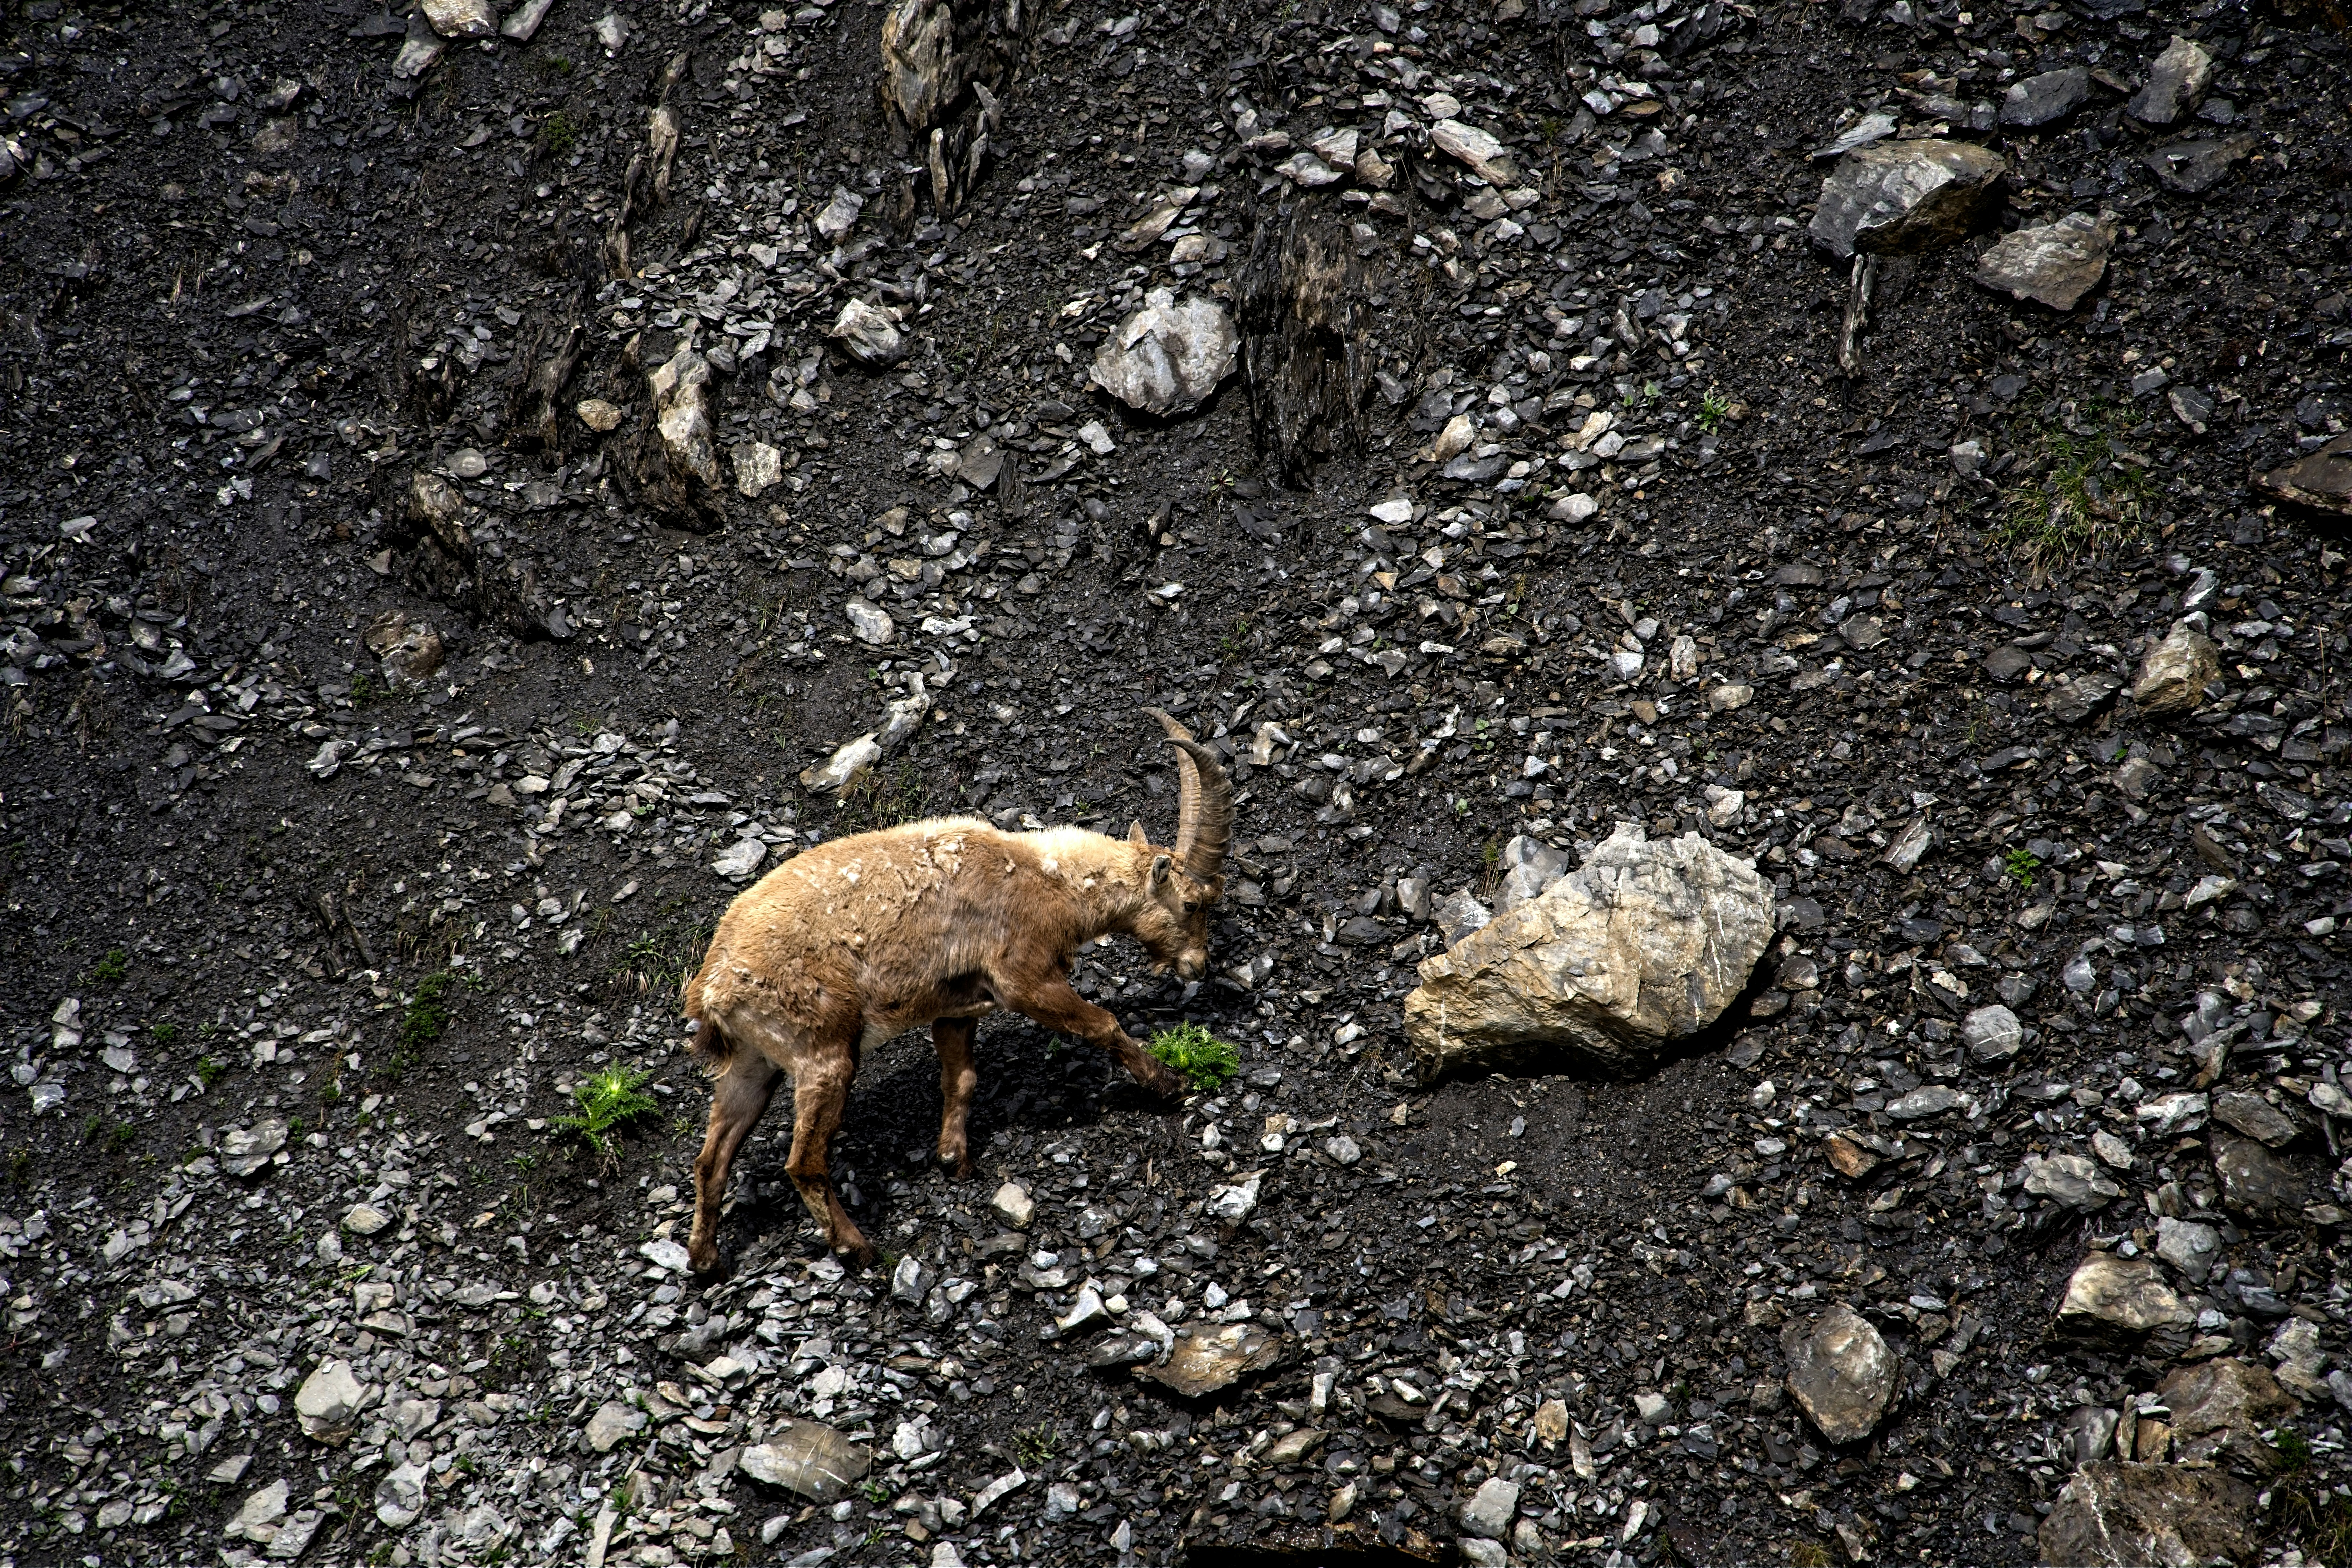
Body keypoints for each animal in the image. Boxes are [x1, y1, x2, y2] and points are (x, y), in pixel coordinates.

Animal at [680, 708, 1232, 1270]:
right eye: (1193, 903)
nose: (1199, 965)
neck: (1050, 881)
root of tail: (711, 991)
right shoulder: (1024, 978)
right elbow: (1101, 1023)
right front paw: (1167, 1082)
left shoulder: (957, 1004)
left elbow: (961, 1077)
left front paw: (953, 1157)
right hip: (823, 1051)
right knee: (803, 1164)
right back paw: (857, 1248)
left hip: (753, 1063)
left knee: (712, 1157)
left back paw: (704, 1258)